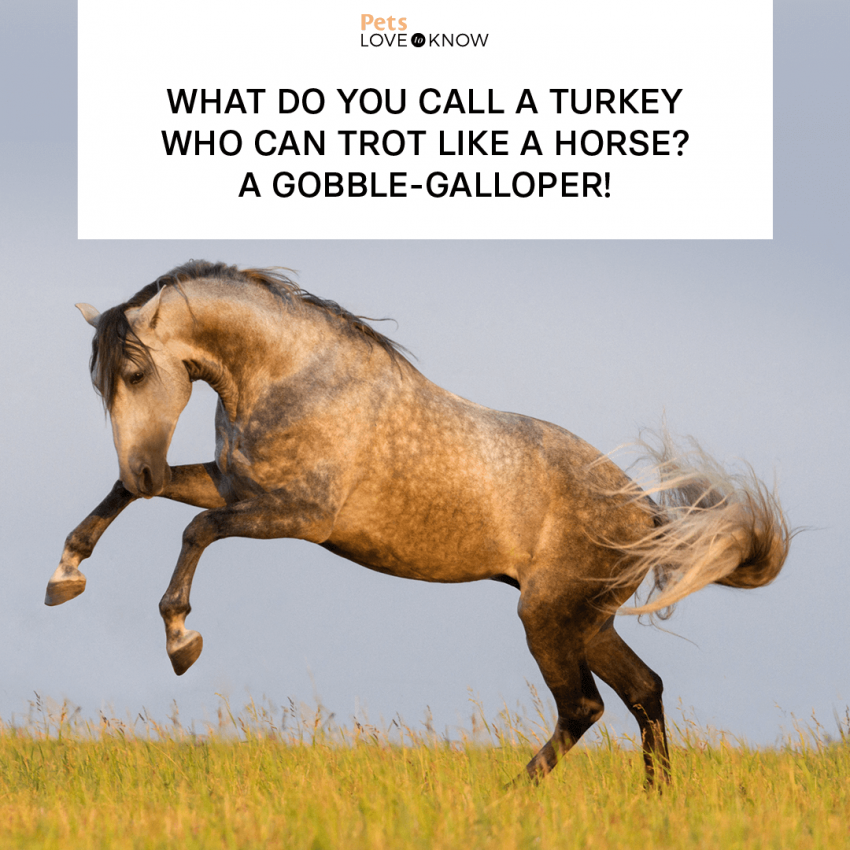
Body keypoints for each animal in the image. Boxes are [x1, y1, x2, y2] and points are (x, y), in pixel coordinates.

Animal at [46, 260, 791, 786]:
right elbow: (128, 499)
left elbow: (196, 530)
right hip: (588, 618)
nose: (146, 464)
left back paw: (505, 799)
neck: (292, 378)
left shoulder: (297, 515)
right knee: (643, 693)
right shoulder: (236, 486)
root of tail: (647, 511)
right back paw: (653, 802)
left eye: (135, 372)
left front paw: (182, 640)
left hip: (549, 615)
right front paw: (65, 576)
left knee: (583, 707)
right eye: (99, 382)